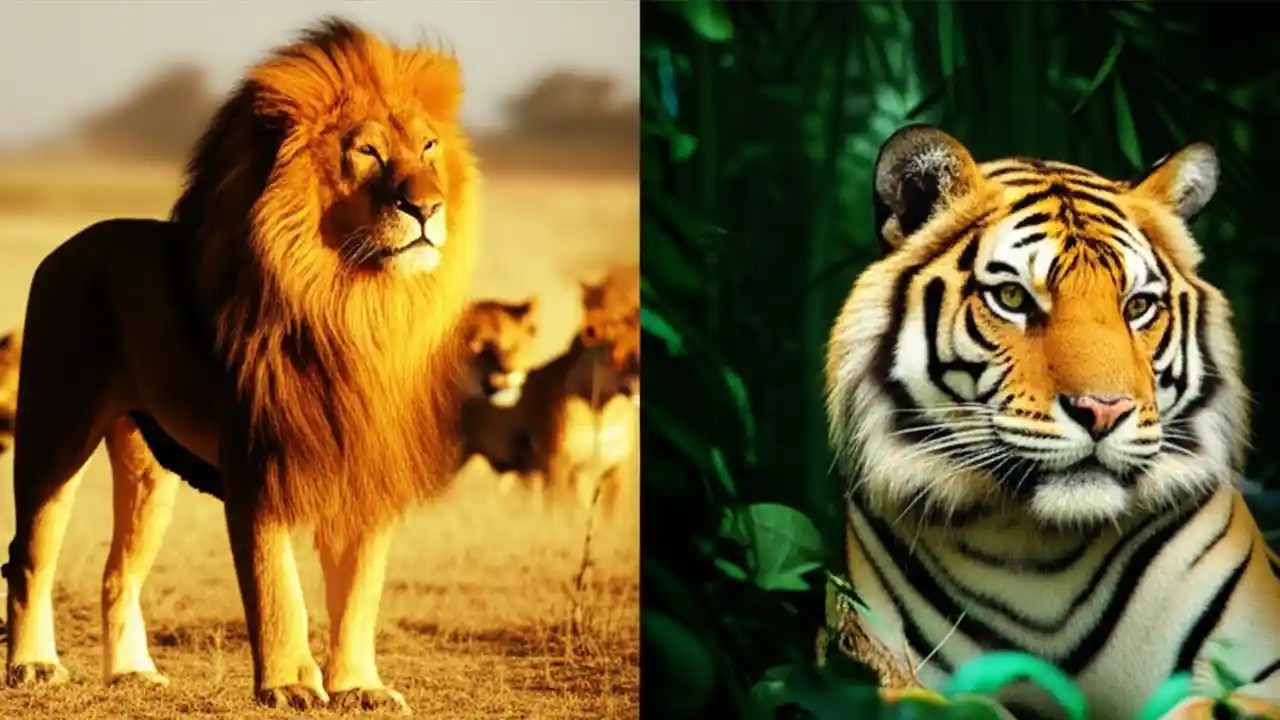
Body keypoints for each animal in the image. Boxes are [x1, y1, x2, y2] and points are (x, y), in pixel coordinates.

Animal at [3, 19, 477, 713]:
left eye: (428, 146)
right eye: (366, 152)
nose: (427, 208)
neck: (356, 307)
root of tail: (70, 245)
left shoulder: (366, 464)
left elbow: (360, 589)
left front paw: (359, 686)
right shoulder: (258, 463)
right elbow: (276, 585)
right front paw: (288, 684)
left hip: (149, 471)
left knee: (119, 571)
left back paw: (132, 673)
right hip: (53, 432)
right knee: (29, 553)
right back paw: (33, 665)